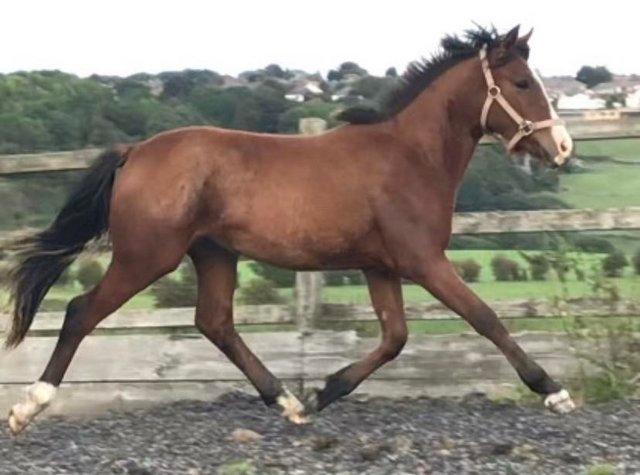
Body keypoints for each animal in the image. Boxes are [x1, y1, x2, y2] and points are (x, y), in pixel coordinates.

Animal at [4, 25, 575, 435]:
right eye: (523, 83)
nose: (563, 148)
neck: (411, 155)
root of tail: (135, 152)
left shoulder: (380, 266)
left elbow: (395, 338)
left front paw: (322, 394)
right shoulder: (423, 260)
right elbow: (485, 318)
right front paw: (554, 392)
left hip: (214, 253)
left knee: (215, 322)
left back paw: (288, 401)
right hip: (147, 256)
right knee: (82, 312)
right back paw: (29, 407)